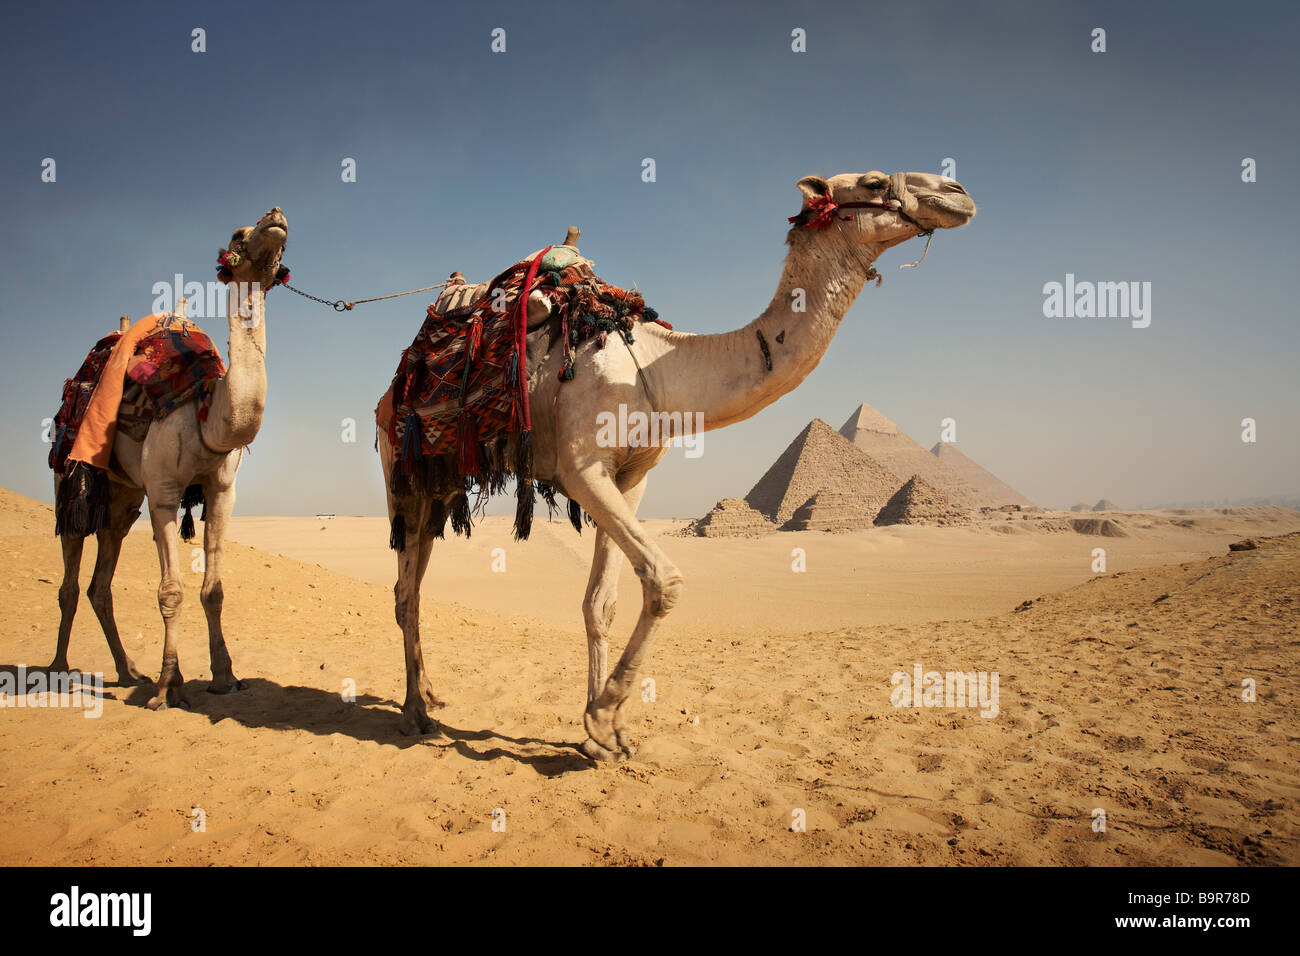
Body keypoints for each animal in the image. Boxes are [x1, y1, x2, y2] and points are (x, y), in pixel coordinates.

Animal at [50, 207, 288, 711]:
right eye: (238, 233)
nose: (276, 217)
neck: (208, 411)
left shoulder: (222, 490)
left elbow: (213, 591)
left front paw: (225, 677)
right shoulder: (162, 490)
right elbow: (171, 591)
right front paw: (167, 686)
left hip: (122, 497)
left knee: (101, 581)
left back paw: (127, 670)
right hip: (70, 477)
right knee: (71, 574)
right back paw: (61, 668)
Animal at [378, 171, 975, 759]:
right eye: (873, 183)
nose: (958, 193)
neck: (654, 369)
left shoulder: (630, 477)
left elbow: (601, 603)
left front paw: (603, 737)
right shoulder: (582, 469)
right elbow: (664, 581)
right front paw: (603, 715)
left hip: (443, 485)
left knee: (417, 579)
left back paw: (431, 693)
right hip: (401, 472)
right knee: (405, 591)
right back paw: (413, 714)